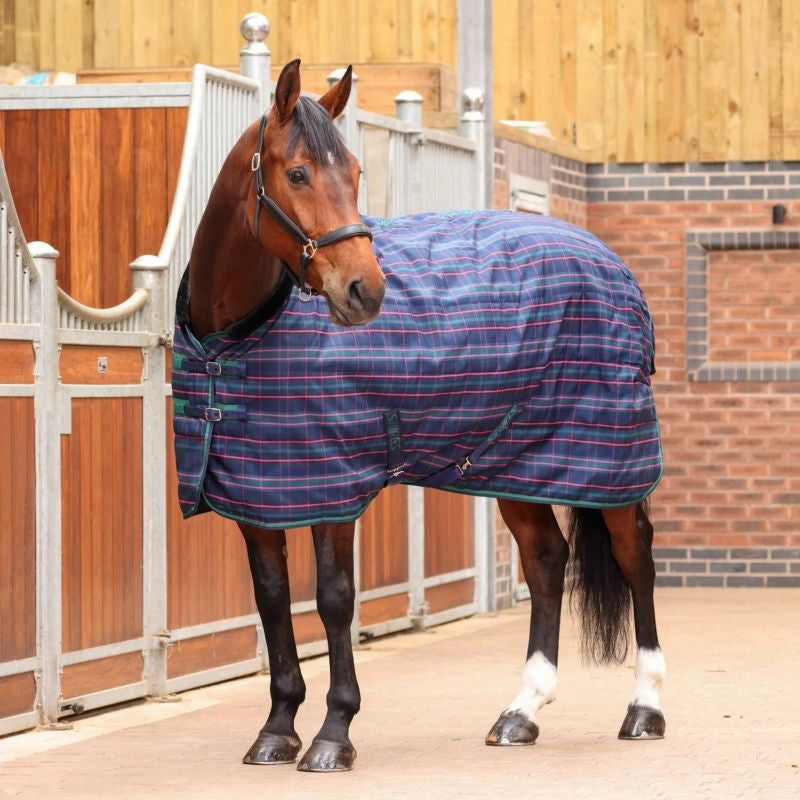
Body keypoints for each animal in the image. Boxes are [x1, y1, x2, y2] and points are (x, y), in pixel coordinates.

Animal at [172, 58, 666, 772]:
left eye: (355, 172)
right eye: (298, 174)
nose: (365, 291)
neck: (234, 340)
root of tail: (609, 262)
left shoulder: (333, 487)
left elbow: (334, 600)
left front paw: (333, 734)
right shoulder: (258, 493)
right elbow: (271, 599)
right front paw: (276, 729)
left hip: (609, 458)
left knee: (635, 558)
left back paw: (645, 708)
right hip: (514, 462)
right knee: (546, 560)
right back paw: (521, 713)